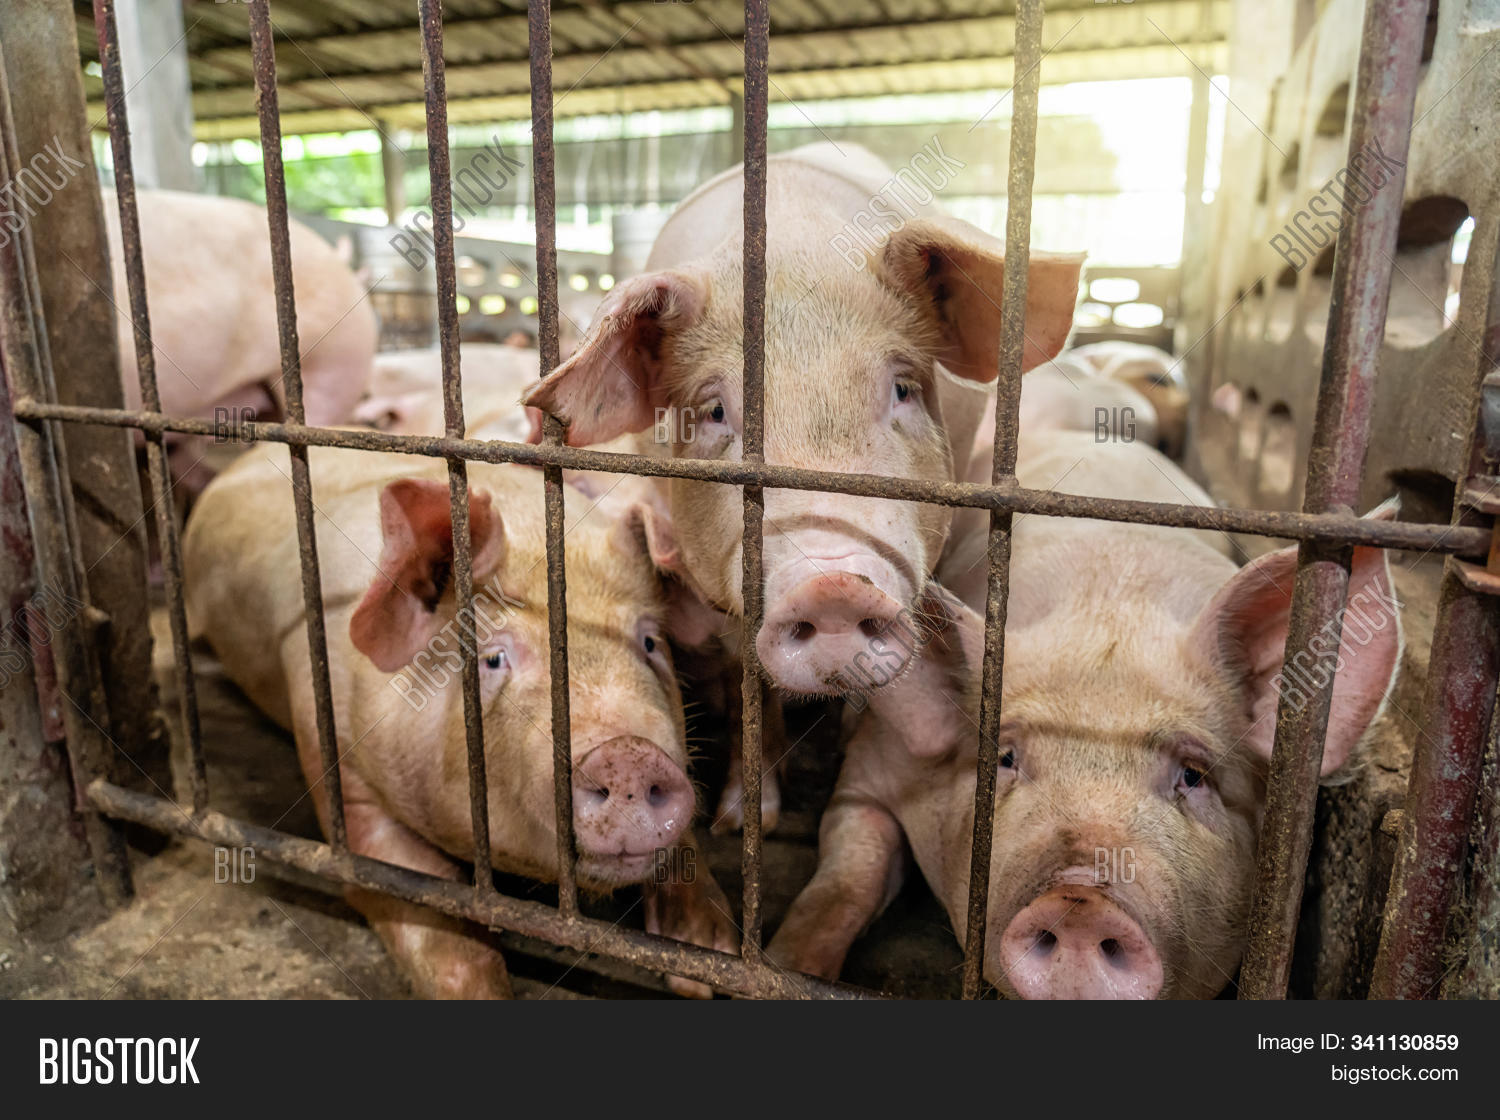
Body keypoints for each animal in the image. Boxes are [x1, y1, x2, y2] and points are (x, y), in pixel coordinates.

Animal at [183, 436, 735, 998]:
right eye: (493, 658)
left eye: (649, 643)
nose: (631, 754)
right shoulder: (334, 755)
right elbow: (419, 905)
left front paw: (709, 961)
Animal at [769, 432, 1401, 997]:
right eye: (1005, 760)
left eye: (1193, 776)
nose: (1080, 903)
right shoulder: (872, 767)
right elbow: (850, 871)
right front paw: (785, 963)